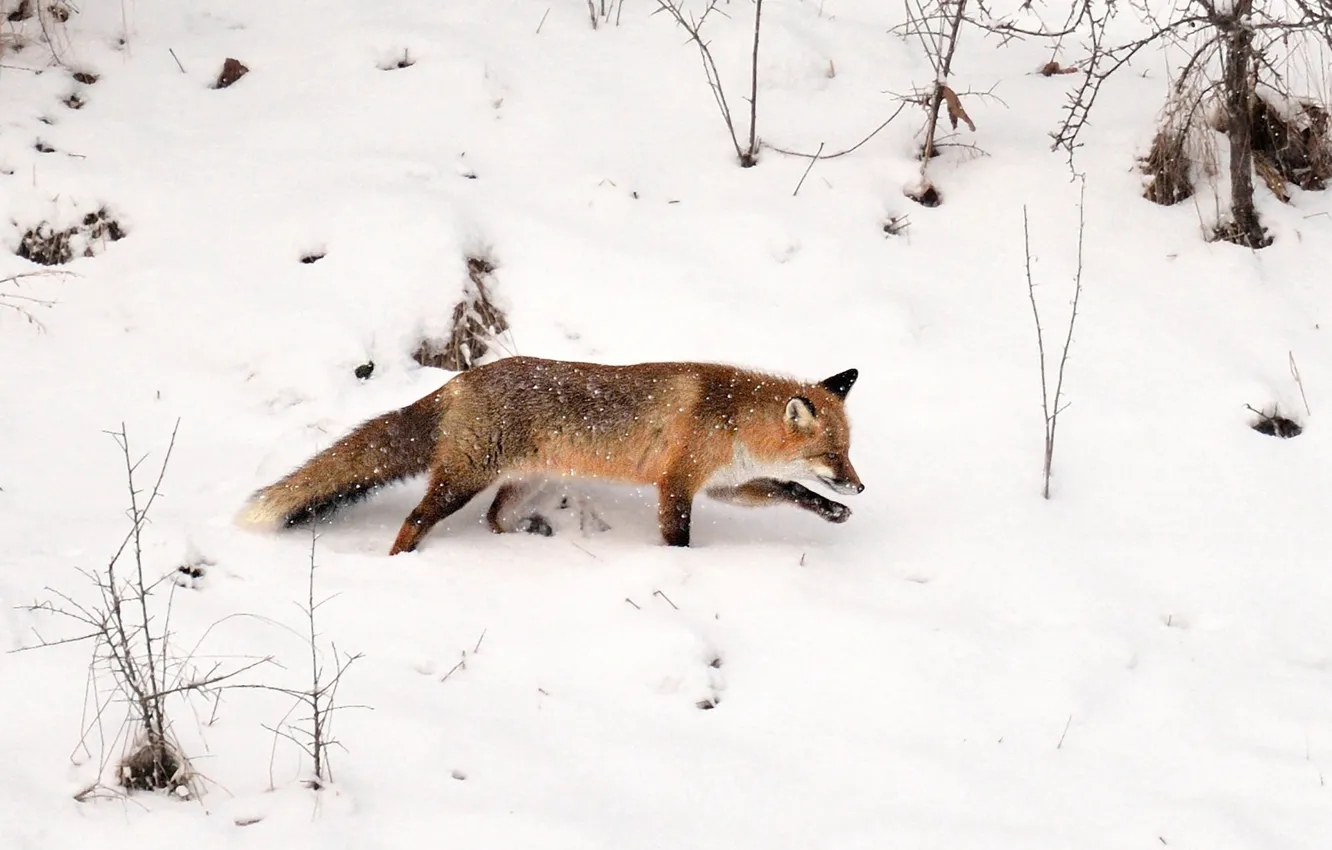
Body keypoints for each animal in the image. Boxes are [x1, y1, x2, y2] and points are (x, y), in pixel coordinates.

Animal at [236, 356, 864, 554]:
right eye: (834, 453)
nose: (858, 486)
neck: (731, 419)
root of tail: (464, 379)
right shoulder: (678, 484)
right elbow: (678, 535)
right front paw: (681, 565)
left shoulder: (725, 483)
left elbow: (789, 490)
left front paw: (834, 512)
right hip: (461, 480)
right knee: (416, 518)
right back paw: (402, 563)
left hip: (525, 482)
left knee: (494, 519)